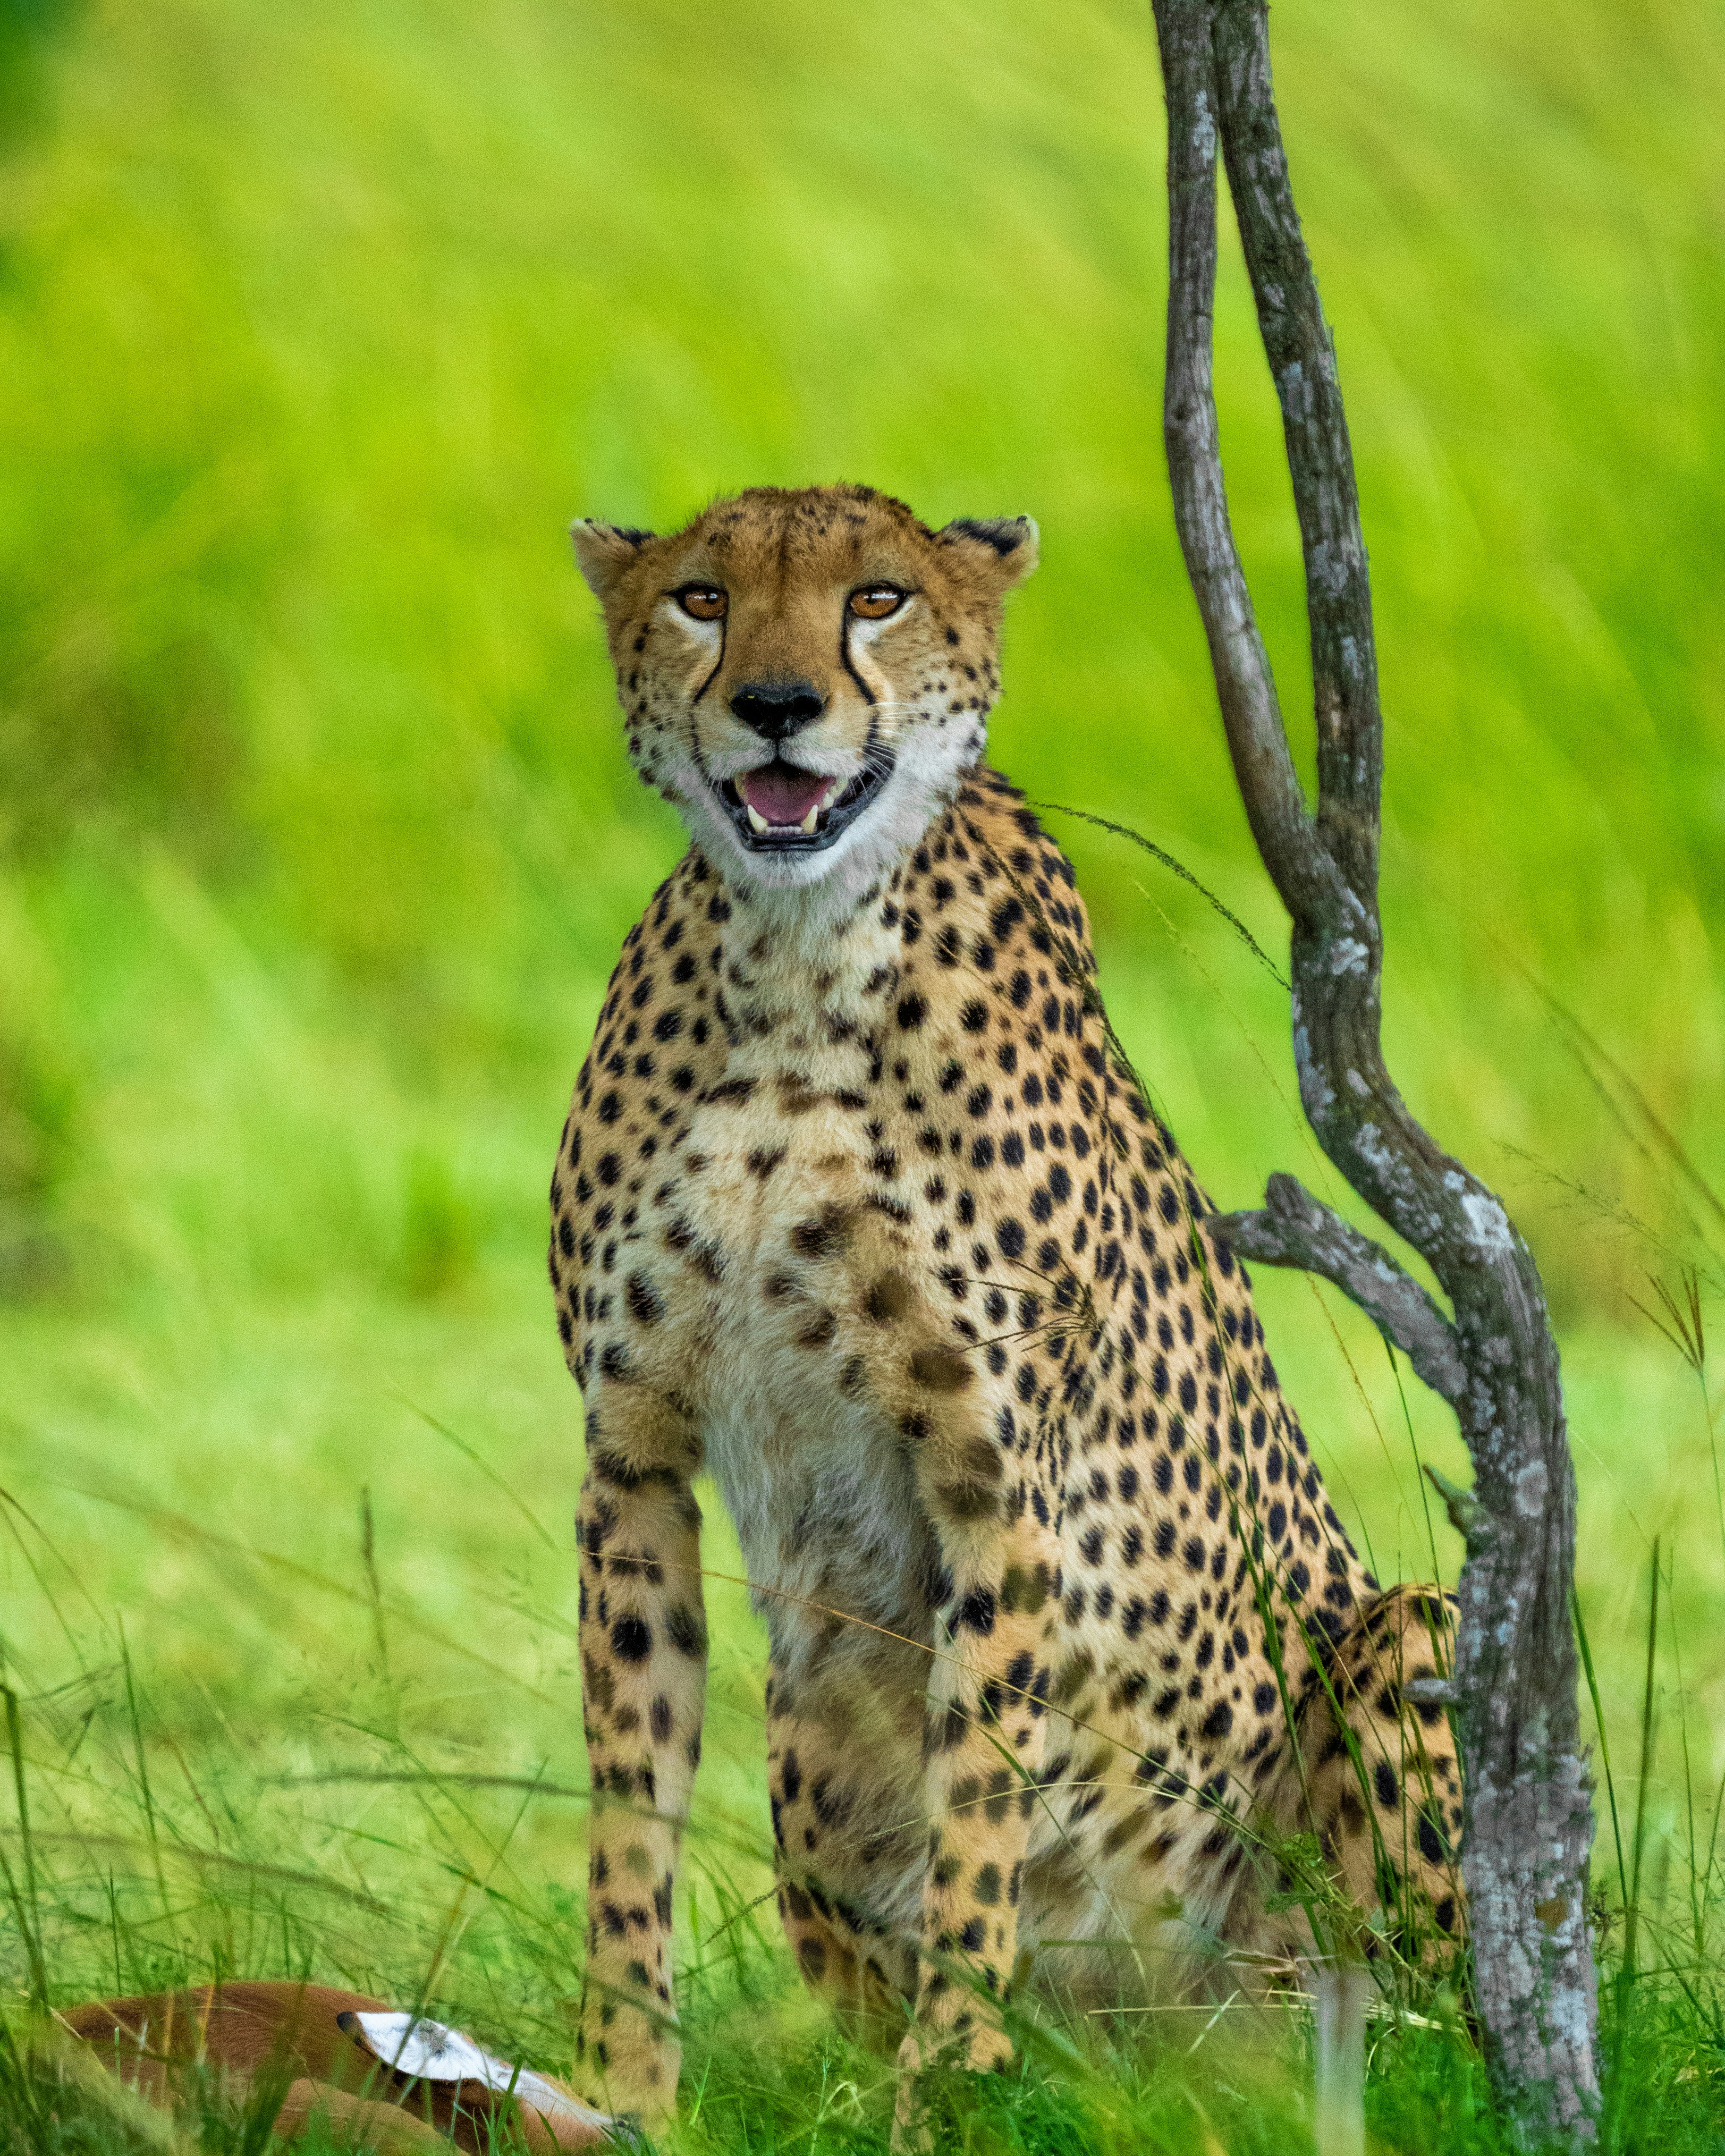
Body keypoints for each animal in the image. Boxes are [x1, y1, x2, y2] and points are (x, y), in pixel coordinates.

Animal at [550, 483, 1463, 2129]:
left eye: (877, 599)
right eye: (704, 598)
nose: (775, 706)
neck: (789, 962)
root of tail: (1161, 2063)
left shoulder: (995, 1475)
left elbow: (977, 1799)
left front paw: (948, 2097)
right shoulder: (629, 1451)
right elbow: (627, 1804)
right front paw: (621, 2092)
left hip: (1401, 1646)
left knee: (1410, 2035)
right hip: (809, 1739)